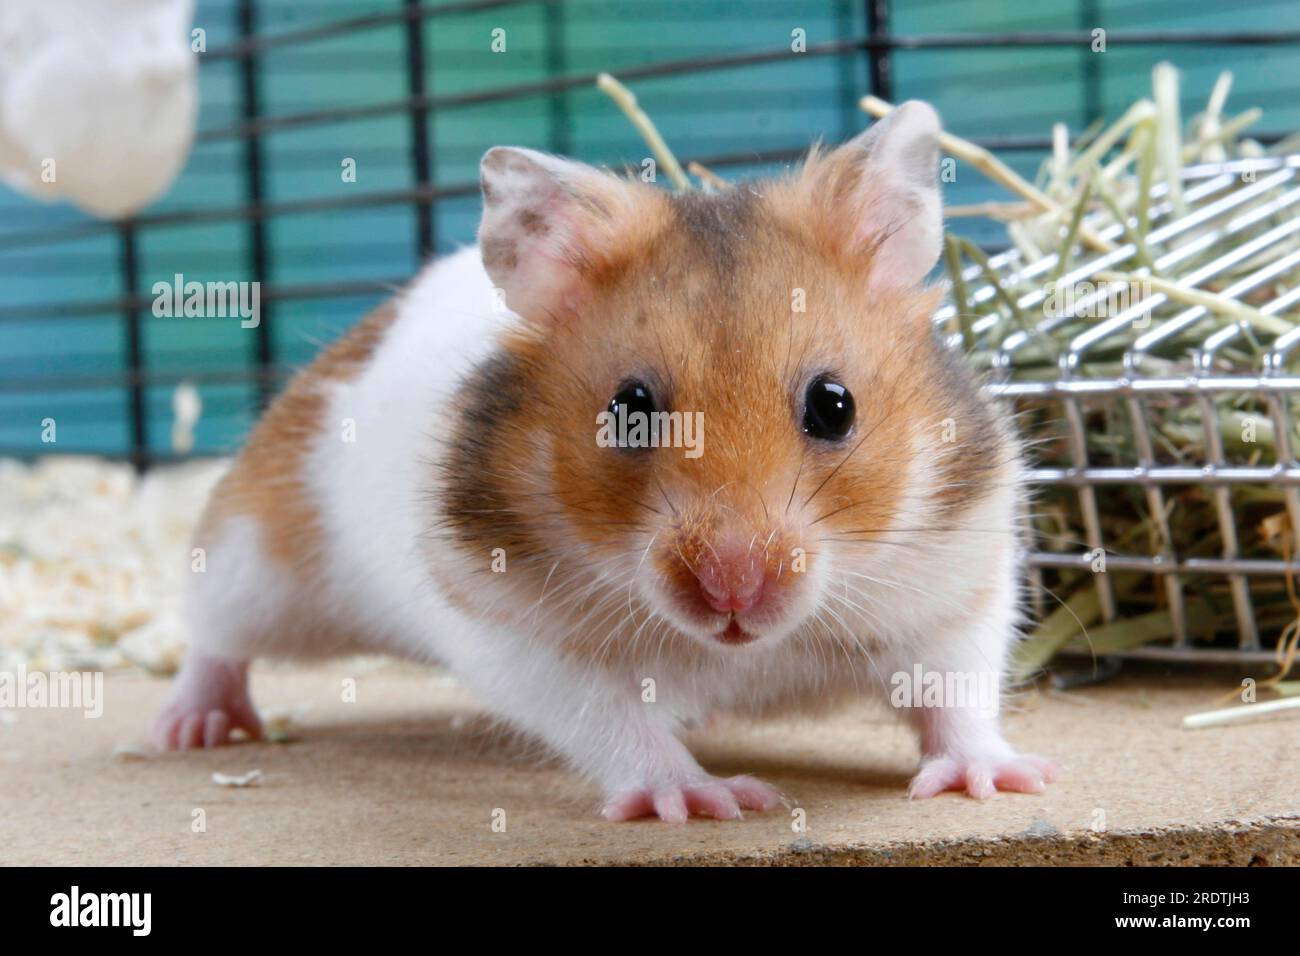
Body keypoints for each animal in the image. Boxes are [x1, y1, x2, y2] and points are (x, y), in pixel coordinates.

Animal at [153, 100, 1057, 821]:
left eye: (835, 405)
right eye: (628, 410)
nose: (735, 590)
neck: (740, 654)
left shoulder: (958, 584)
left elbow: (956, 694)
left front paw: (1003, 781)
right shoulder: (525, 640)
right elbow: (620, 727)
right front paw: (705, 802)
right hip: (257, 562)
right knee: (214, 636)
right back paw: (190, 728)